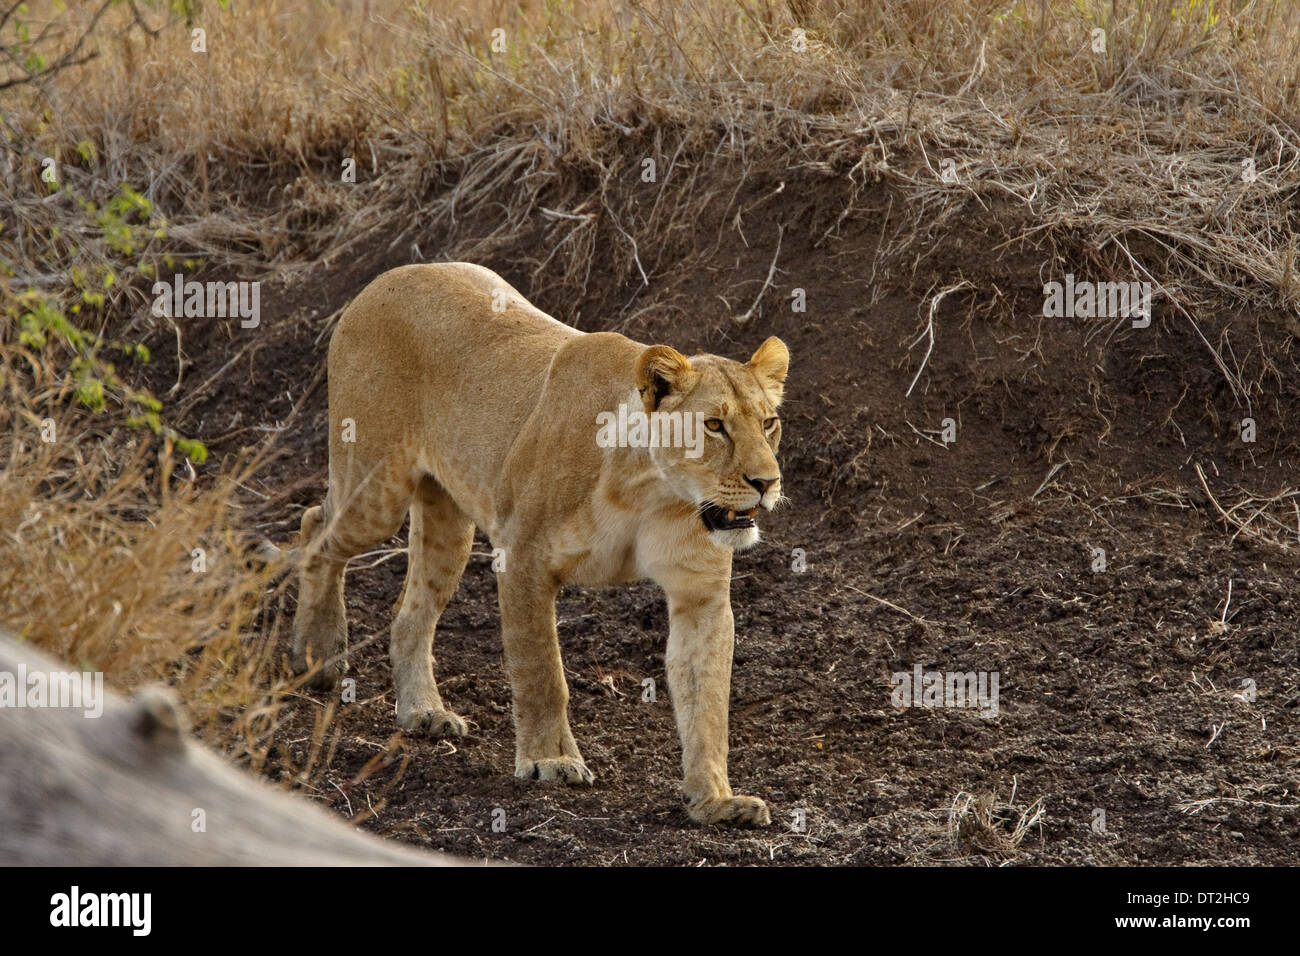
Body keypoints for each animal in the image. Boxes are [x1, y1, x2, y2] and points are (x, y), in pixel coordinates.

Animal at [274, 262, 788, 827]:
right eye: (714, 425)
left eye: (769, 422)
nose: (767, 482)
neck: (653, 492)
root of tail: (394, 273)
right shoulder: (523, 558)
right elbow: (542, 672)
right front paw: (552, 761)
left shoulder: (701, 594)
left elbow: (707, 699)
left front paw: (715, 798)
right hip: (374, 491)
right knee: (314, 528)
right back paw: (316, 655)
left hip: (448, 521)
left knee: (410, 613)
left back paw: (423, 712)